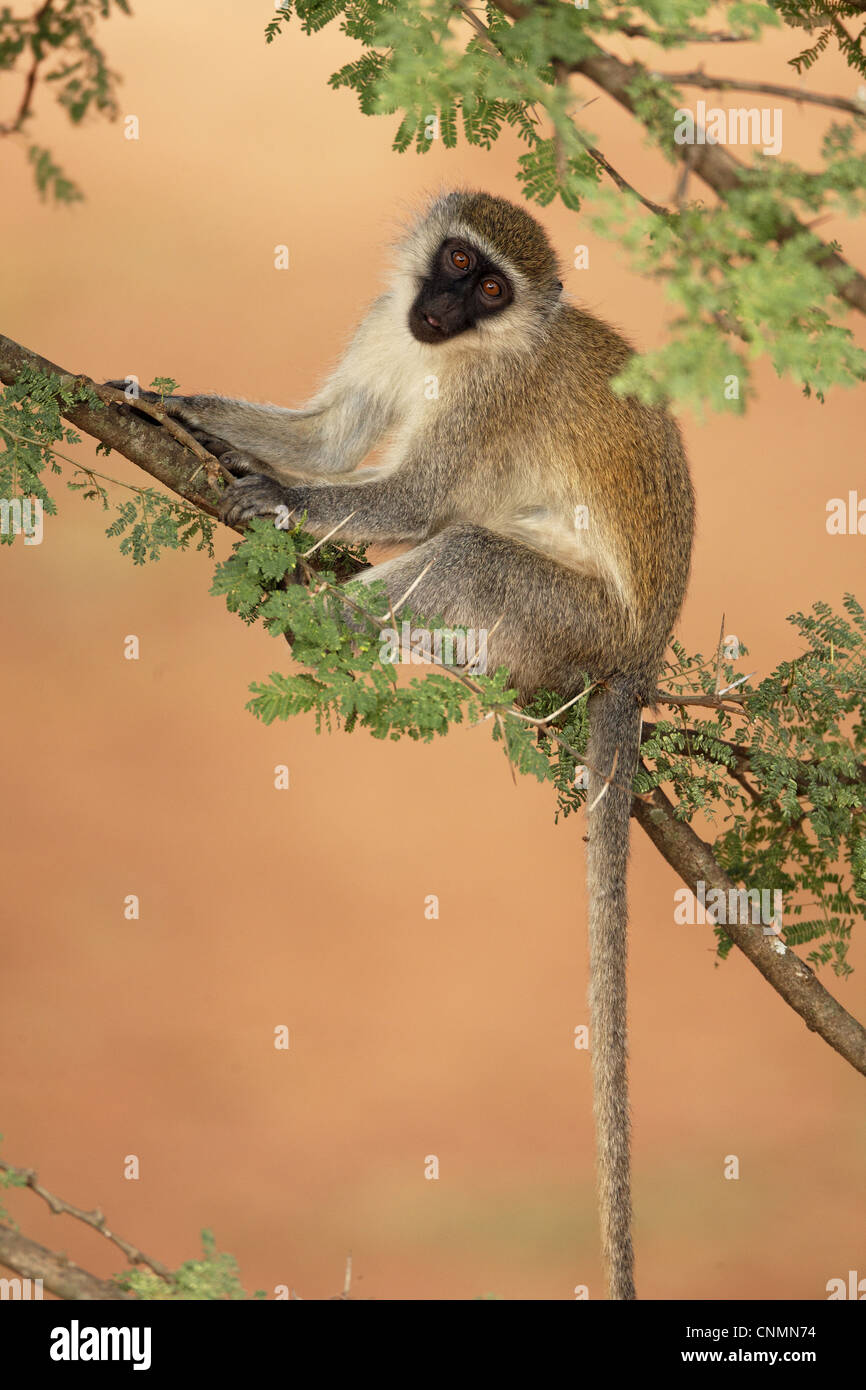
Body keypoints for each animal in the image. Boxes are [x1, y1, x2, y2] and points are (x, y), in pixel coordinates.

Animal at [119, 191, 694, 1300]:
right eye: (458, 263)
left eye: (489, 289)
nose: (439, 310)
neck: (467, 350)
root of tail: (641, 652)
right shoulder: (384, 330)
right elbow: (333, 433)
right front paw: (174, 407)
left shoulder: (490, 401)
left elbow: (411, 498)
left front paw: (271, 494)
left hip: (565, 617)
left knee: (464, 548)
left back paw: (322, 616)